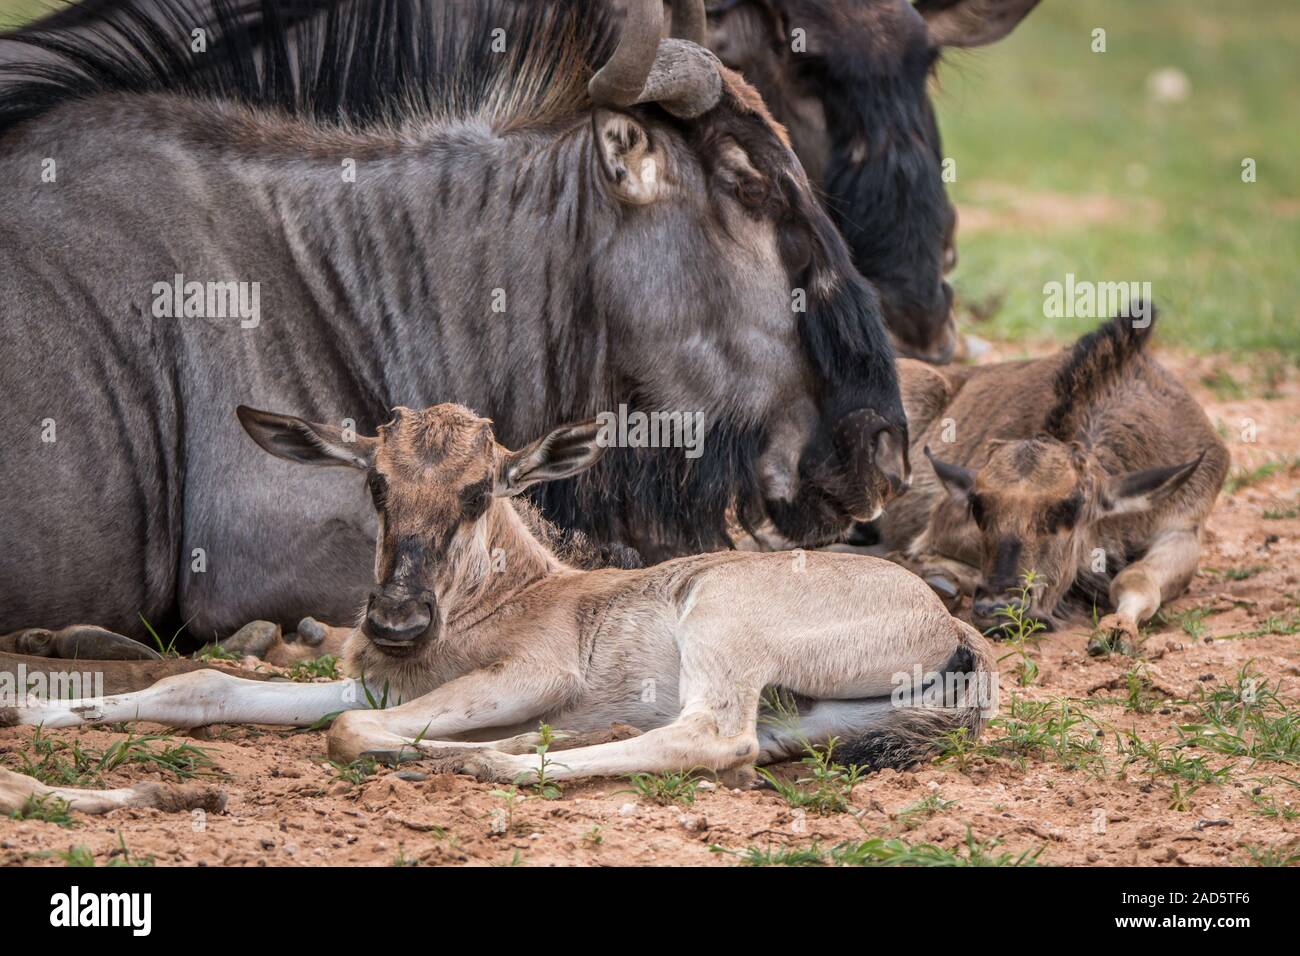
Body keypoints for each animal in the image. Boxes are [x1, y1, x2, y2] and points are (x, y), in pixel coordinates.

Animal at [3, 401, 997, 788]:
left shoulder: (531, 674)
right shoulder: (377, 681)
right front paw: (35, 710)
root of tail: (950, 628)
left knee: (713, 735)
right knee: (738, 740)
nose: (395, 622)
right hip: (814, 713)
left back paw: (496, 759)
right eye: (374, 483)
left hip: (722, 617)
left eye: (482, 490)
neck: (515, 587)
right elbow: (199, 685)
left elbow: (347, 731)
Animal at [877, 306, 1229, 652]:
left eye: (1070, 510)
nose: (999, 608)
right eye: (977, 508)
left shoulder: (1183, 529)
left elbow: (1136, 578)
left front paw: (1117, 629)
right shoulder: (942, 528)